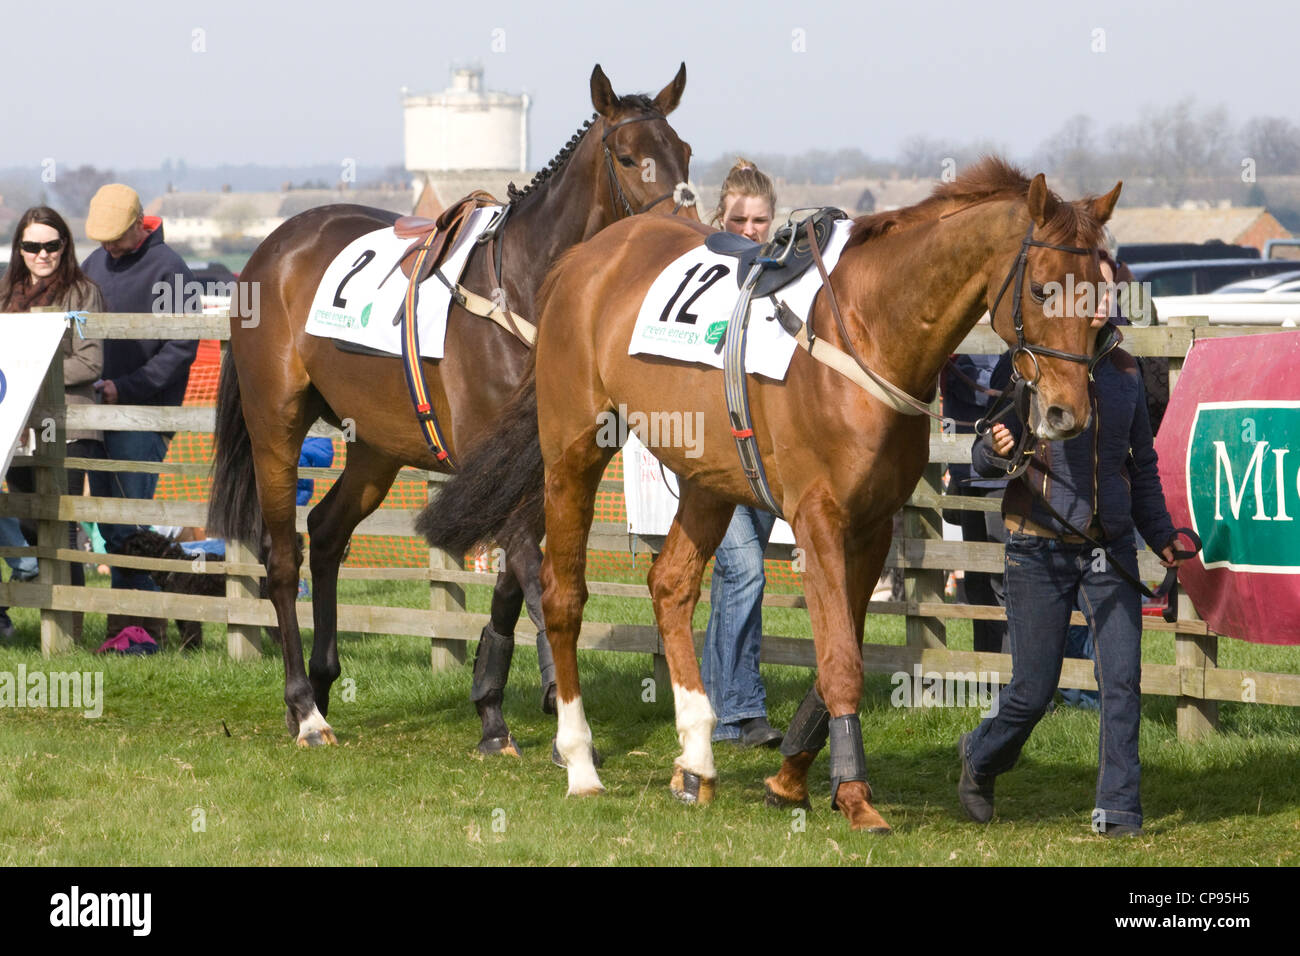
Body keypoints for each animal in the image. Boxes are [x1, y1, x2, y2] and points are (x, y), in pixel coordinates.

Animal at [207, 63, 696, 752]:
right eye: (628, 157)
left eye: (684, 152)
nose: (682, 238)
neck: (523, 289)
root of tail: (268, 249)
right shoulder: (490, 465)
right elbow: (532, 575)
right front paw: (553, 702)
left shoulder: (536, 464)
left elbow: (514, 584)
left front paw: (492, 705)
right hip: (275, 422)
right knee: (282, 559)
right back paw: (304, 708)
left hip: (376, 443)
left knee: (327, 532)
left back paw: (325, 682)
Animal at [419, 158, 1122, 831]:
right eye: (1041, 288)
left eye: (1105, 295)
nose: (1066, 413)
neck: (867, 330)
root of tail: (582, 261)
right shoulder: (818, 519)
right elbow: (841, 663)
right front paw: (854, 794)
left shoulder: (871, 526)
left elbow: (841, 653)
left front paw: (791, 776)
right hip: (573, 452)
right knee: (562, 595)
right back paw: (580, 760)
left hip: (707, 477)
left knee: (670, 585)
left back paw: (696, 757)